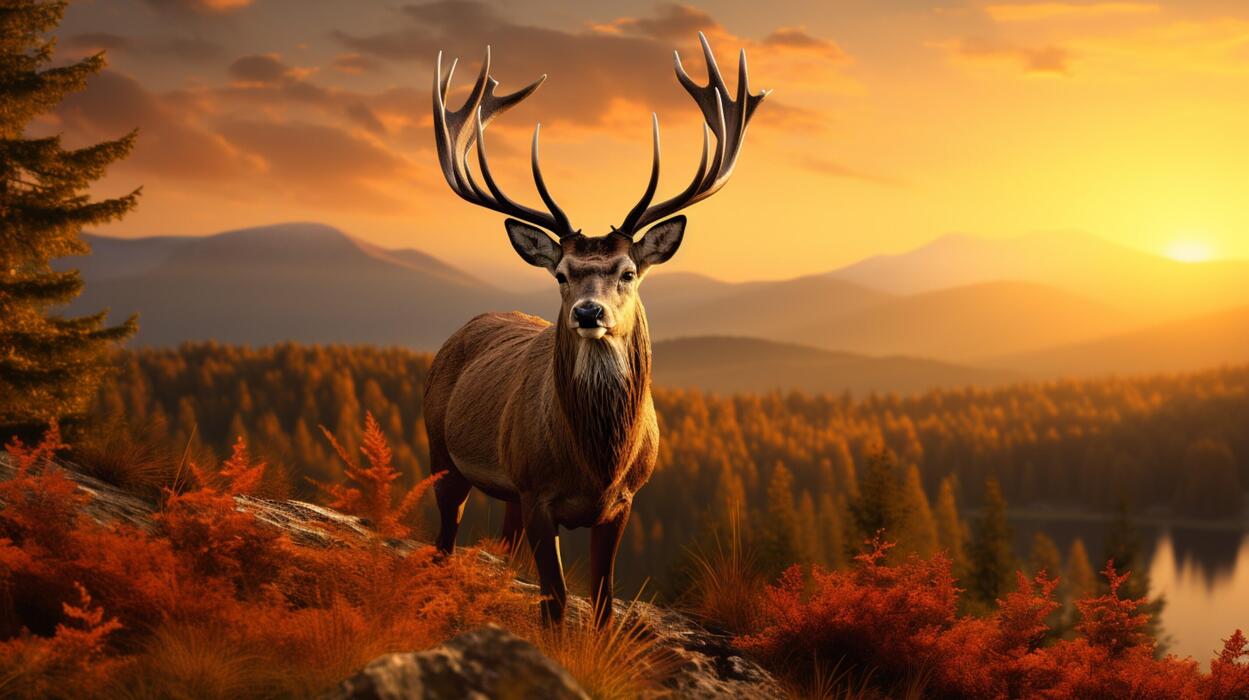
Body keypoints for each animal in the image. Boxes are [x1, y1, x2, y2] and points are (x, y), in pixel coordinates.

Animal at [423, 33, 768, 627]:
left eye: (628, 272)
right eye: (562, 273)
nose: (588, 313)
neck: (598, 465)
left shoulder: (623, 502)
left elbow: (604, 601)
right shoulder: (537, 492)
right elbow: (556, 601)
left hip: (505, 490)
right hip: (440, 451)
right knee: (444, 540)